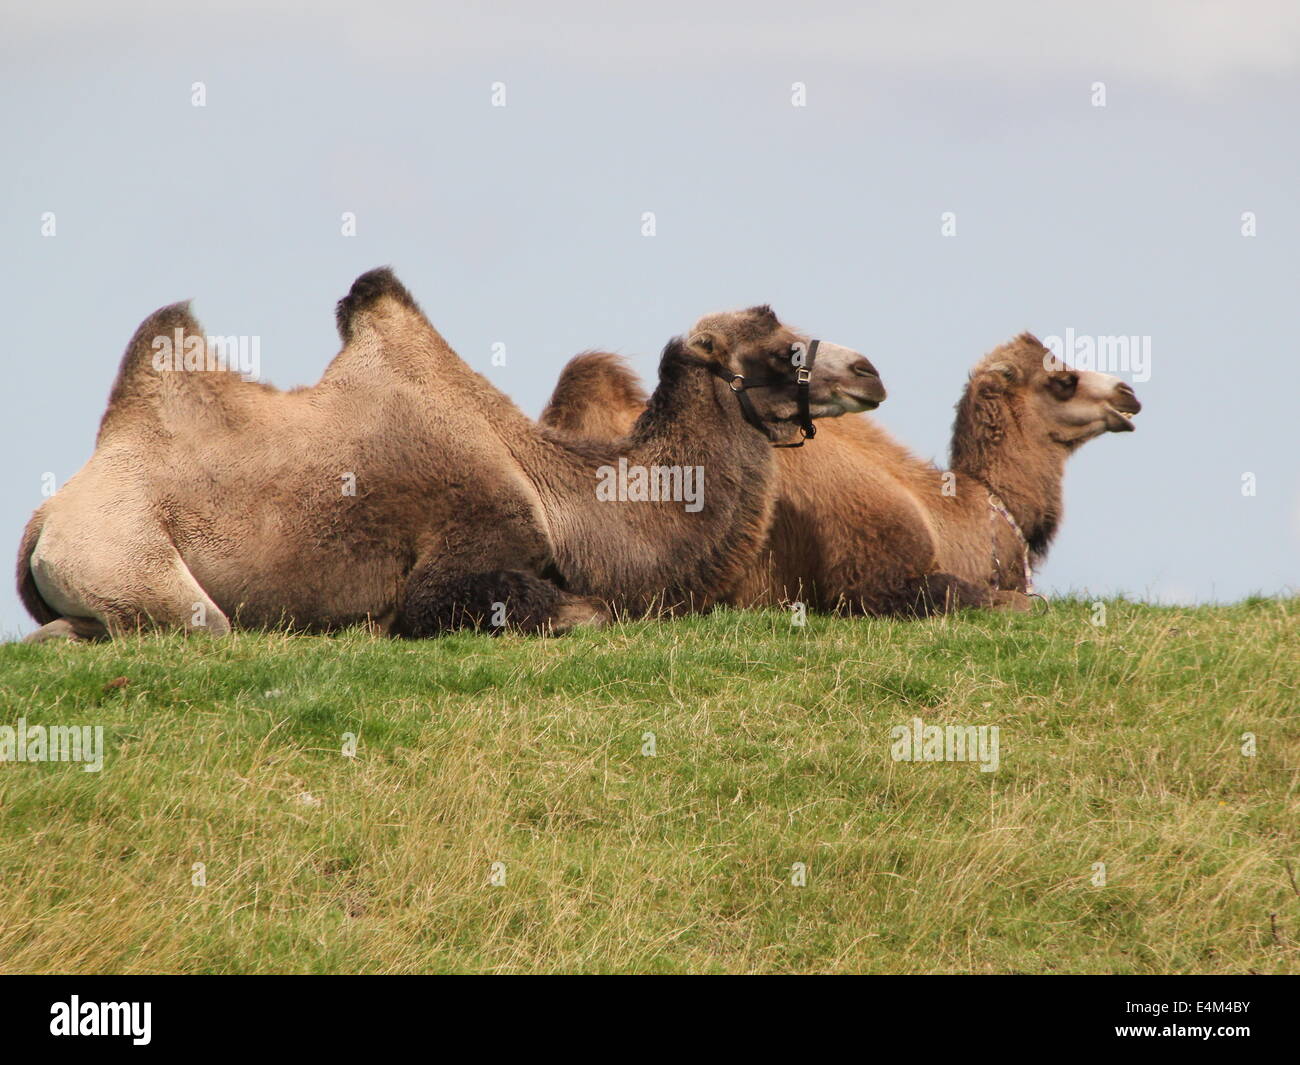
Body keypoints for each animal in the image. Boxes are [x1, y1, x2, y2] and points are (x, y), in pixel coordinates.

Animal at [17, 269, 883, 641]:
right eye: (775, 347)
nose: (868, 370)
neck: (561, 499)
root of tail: (46, 516)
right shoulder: (463, 548)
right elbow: (558, 607)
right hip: (134, 561)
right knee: (198, 624)